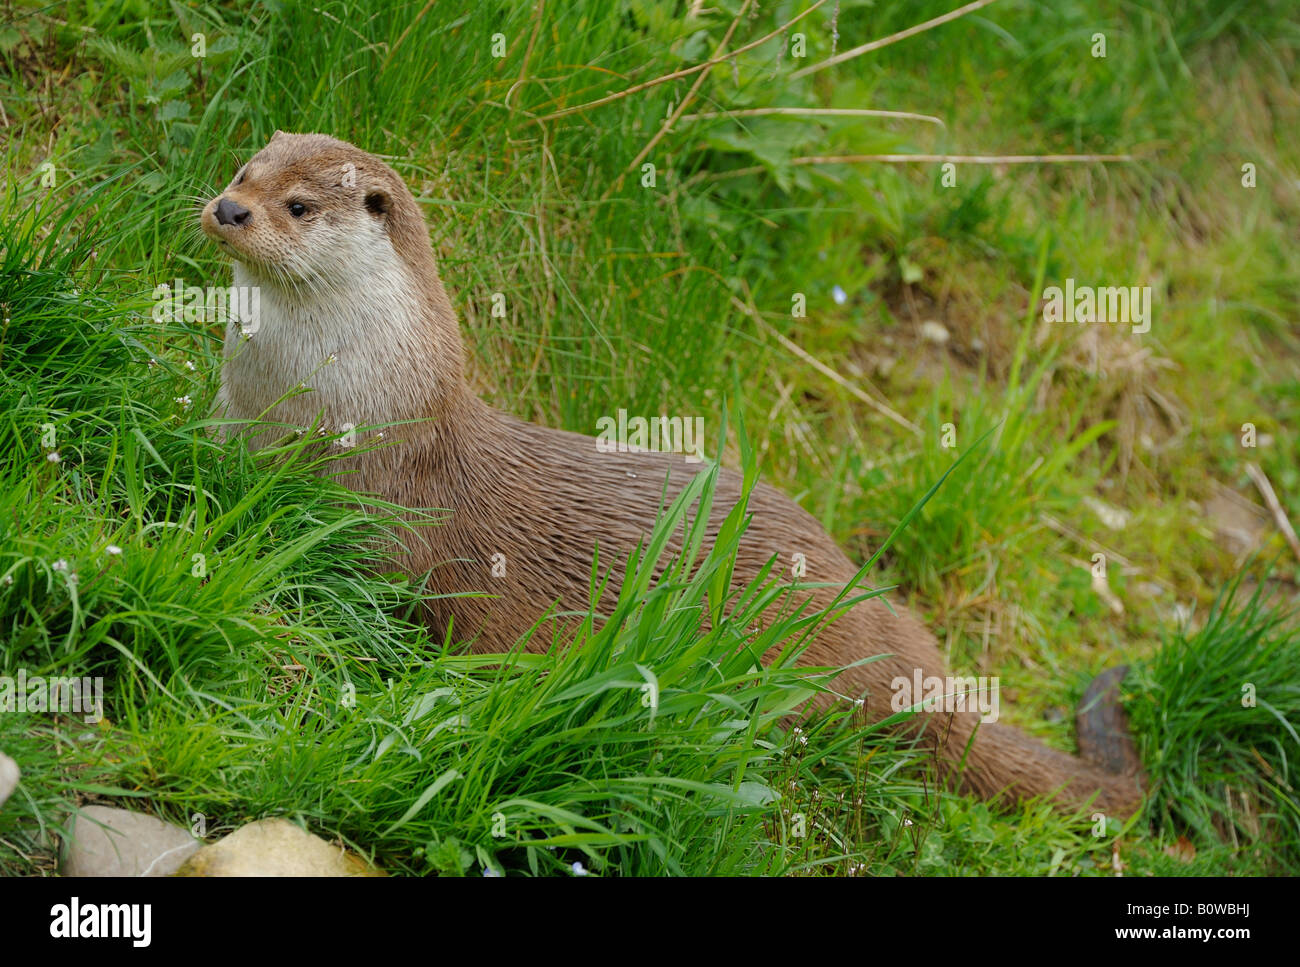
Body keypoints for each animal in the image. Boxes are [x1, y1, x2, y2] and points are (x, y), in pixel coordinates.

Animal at [200, 132, 1143, 817]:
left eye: (297, 204)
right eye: (246, 167)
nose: (229, 208)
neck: (323, 403)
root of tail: (890, 631)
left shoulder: (383, 510)